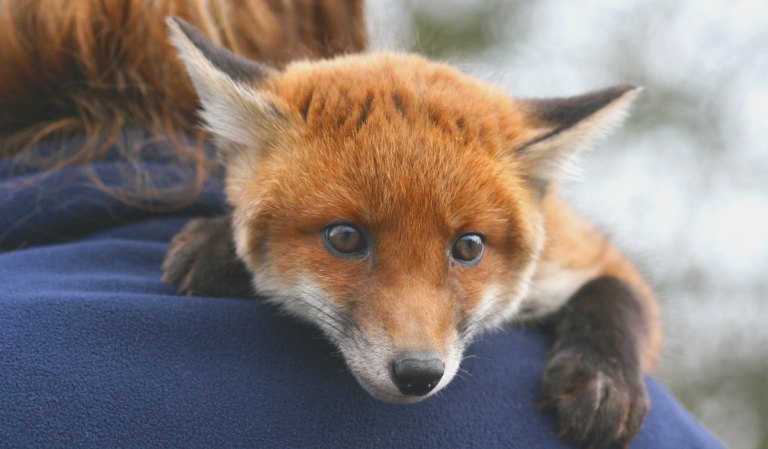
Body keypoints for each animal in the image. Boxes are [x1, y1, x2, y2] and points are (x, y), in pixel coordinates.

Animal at [161, 17, 662, 449]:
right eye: (345, 238)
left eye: (469, 246)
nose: (419, 373)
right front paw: (219, 246)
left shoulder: (583, 251)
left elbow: (619, 294)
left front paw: (603, 380)